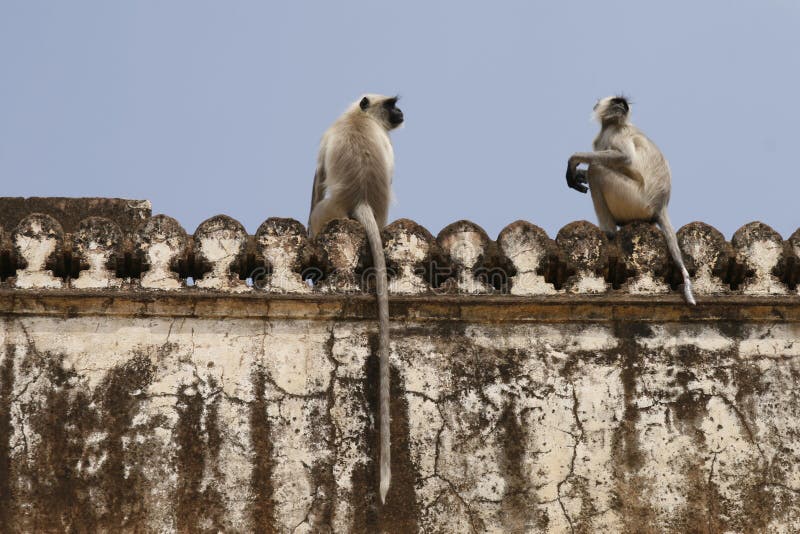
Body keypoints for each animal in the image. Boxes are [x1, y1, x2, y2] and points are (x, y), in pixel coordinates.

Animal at [566, 96, 696, 305]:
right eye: (617, 102)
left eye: (623, 104)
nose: (621, 106)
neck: (609, 125)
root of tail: (661, 206)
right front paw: (579, 174)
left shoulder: (617, 131)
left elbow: (624, 158)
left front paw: (574, 160)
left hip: (635, 200)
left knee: (597, 169)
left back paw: (608, 232)